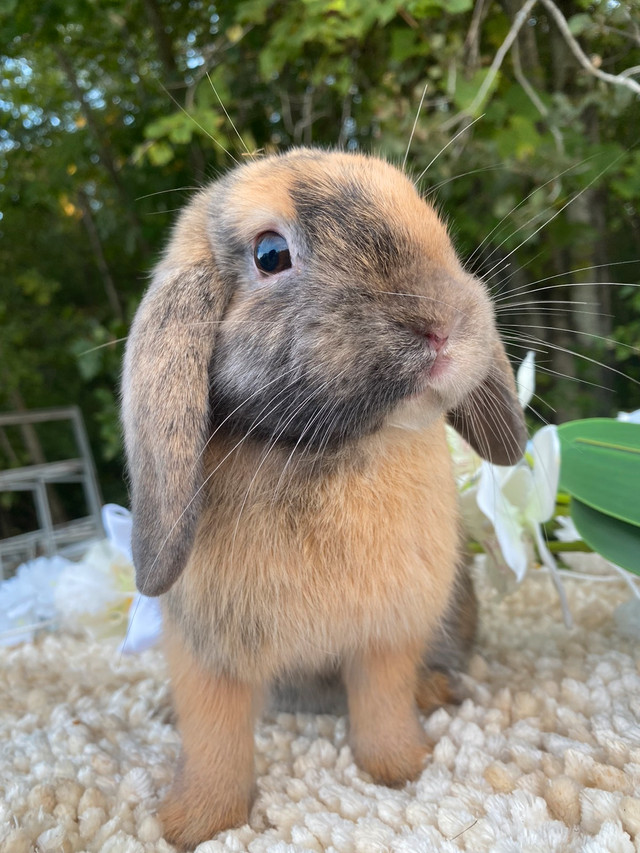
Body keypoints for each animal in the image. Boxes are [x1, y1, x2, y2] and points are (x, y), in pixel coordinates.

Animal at [121, 148, 527, 848]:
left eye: (430, 218)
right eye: (270, 254)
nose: (442, 324)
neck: (317, 452)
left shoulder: (387, 635)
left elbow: (381, 705)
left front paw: (402, 769)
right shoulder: (209, 654)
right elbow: (214, 738)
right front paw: (193, 824)